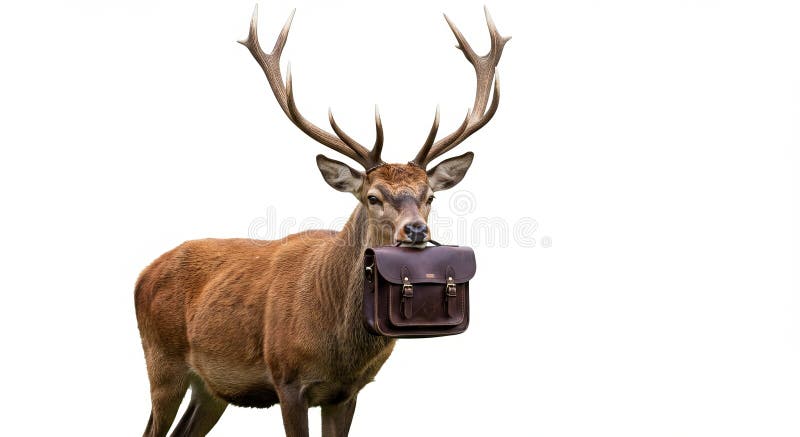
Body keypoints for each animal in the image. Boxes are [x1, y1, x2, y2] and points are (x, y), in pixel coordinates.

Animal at [134, 5, 508, 437]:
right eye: (373, 197)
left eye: (429, 196)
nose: (416, 230)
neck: (337, 347)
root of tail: (141, 275)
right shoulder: (287, 379)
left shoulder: (347, 391)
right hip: (162, 362)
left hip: (212, 388)